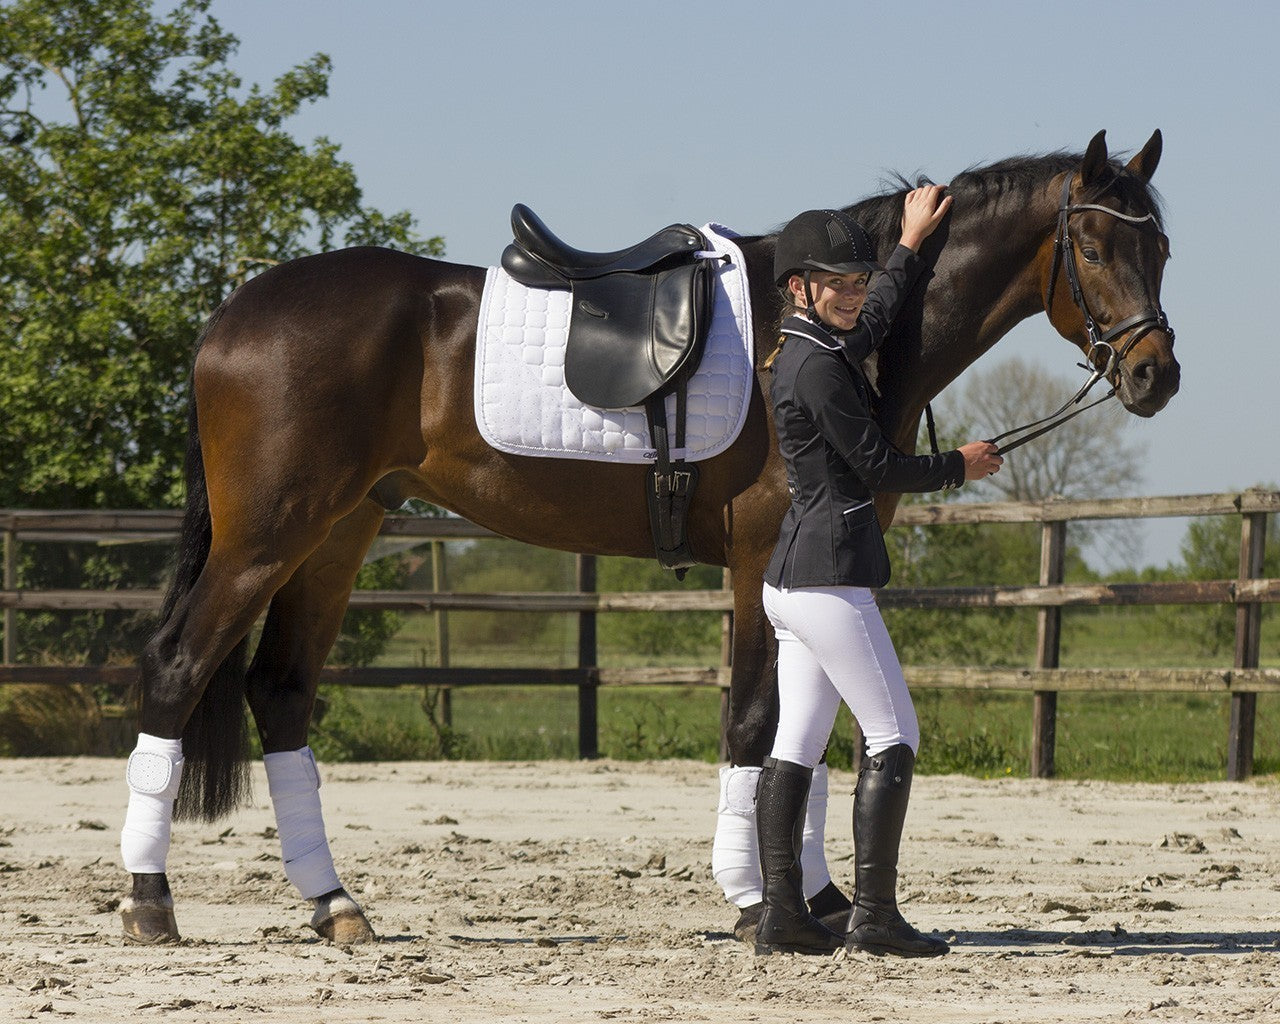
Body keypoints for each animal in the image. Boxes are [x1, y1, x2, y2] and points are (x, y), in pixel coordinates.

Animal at [119, 130, 1178, 944]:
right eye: (1090, 245)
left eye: (1161, 247)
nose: (1155, 376)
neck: (823, 338)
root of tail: (233, 314)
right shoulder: (758, 565)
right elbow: (755, 726)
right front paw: (757, 905)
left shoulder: (818, 576)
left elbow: (809, 733)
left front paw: (821, 902)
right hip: (269, 538)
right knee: (177, 668)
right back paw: (150, 903)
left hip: (340, 535)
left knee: (280, 694)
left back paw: (336, 906)